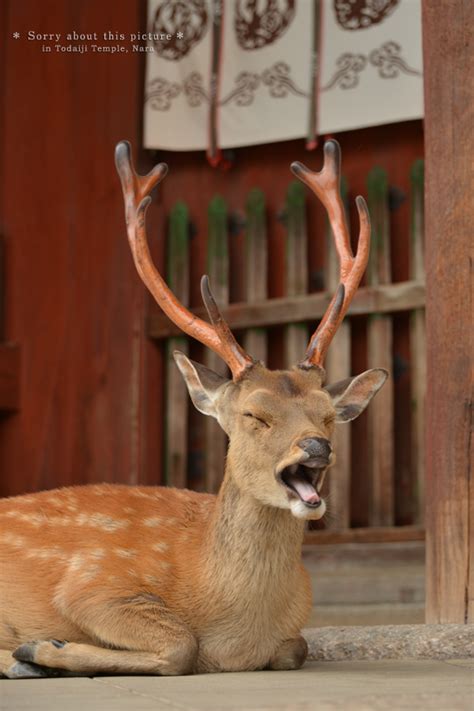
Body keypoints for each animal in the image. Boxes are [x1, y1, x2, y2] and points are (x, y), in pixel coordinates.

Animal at [0, 140, 387, 679]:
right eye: (254, 415)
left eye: (328, 415)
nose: (316, 447)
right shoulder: (91, 582)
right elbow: (181, 645)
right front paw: (40, 648)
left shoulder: (292, 632)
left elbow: (296, 647)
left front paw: (39, 653)